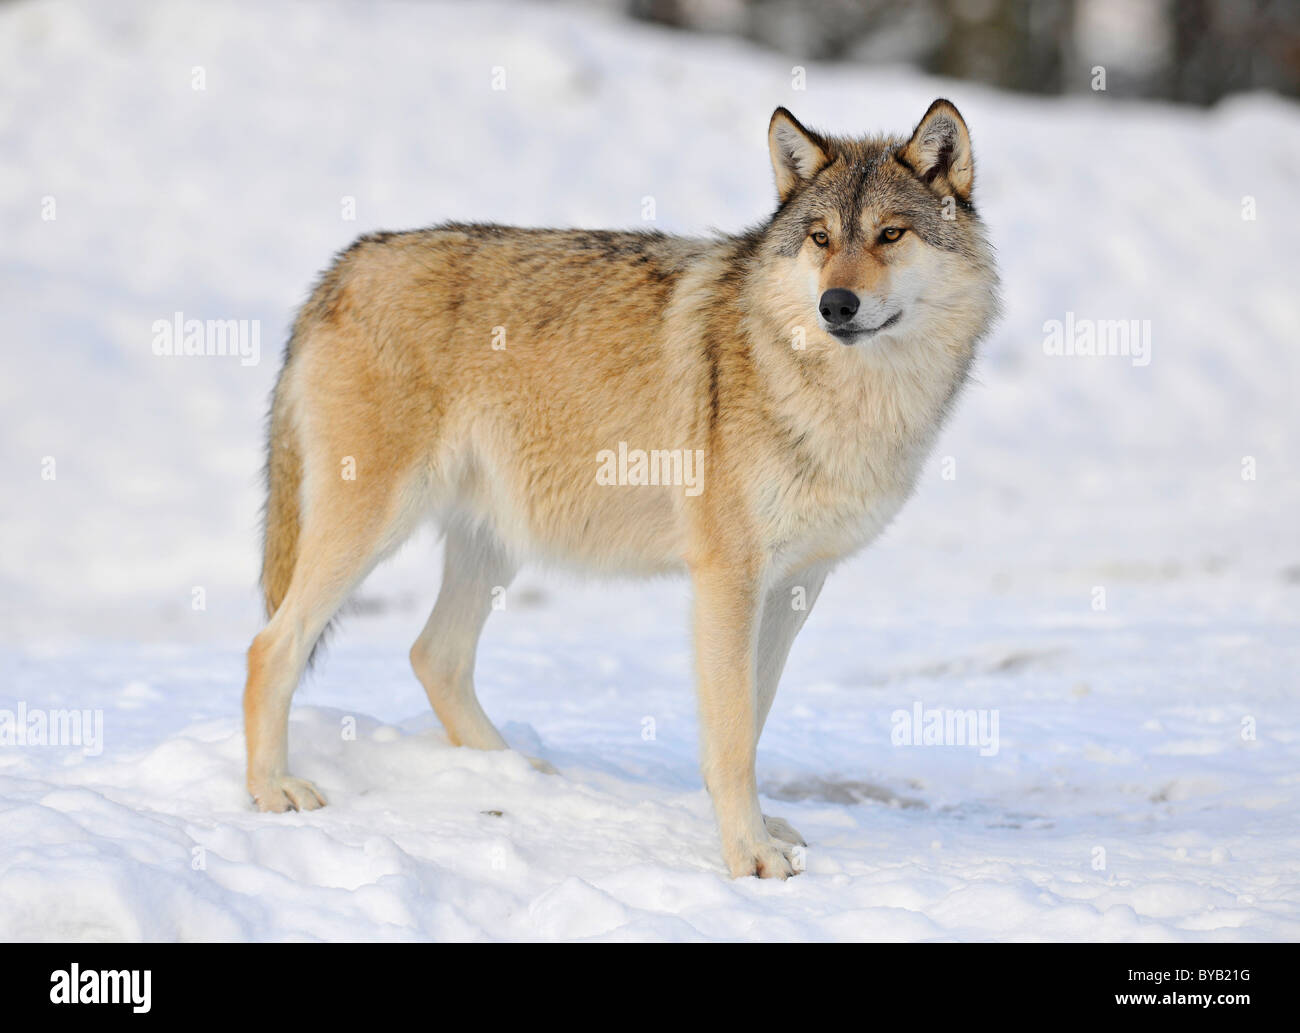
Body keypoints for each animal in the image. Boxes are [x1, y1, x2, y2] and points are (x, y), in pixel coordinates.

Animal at [244, 99, 999, 878]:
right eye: (821, 238)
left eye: (890, 234)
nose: (836, 304)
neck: (844, 399)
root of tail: (345, 263)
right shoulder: (728, 577)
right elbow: (732, 735)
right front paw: (749, 857)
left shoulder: (795, 584)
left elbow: (752, 720)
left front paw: (759, 832)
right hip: (373, 526)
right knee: (271, 647)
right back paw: (274, 789)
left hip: (494, 543)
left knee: (435, 656)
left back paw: (517, 779)